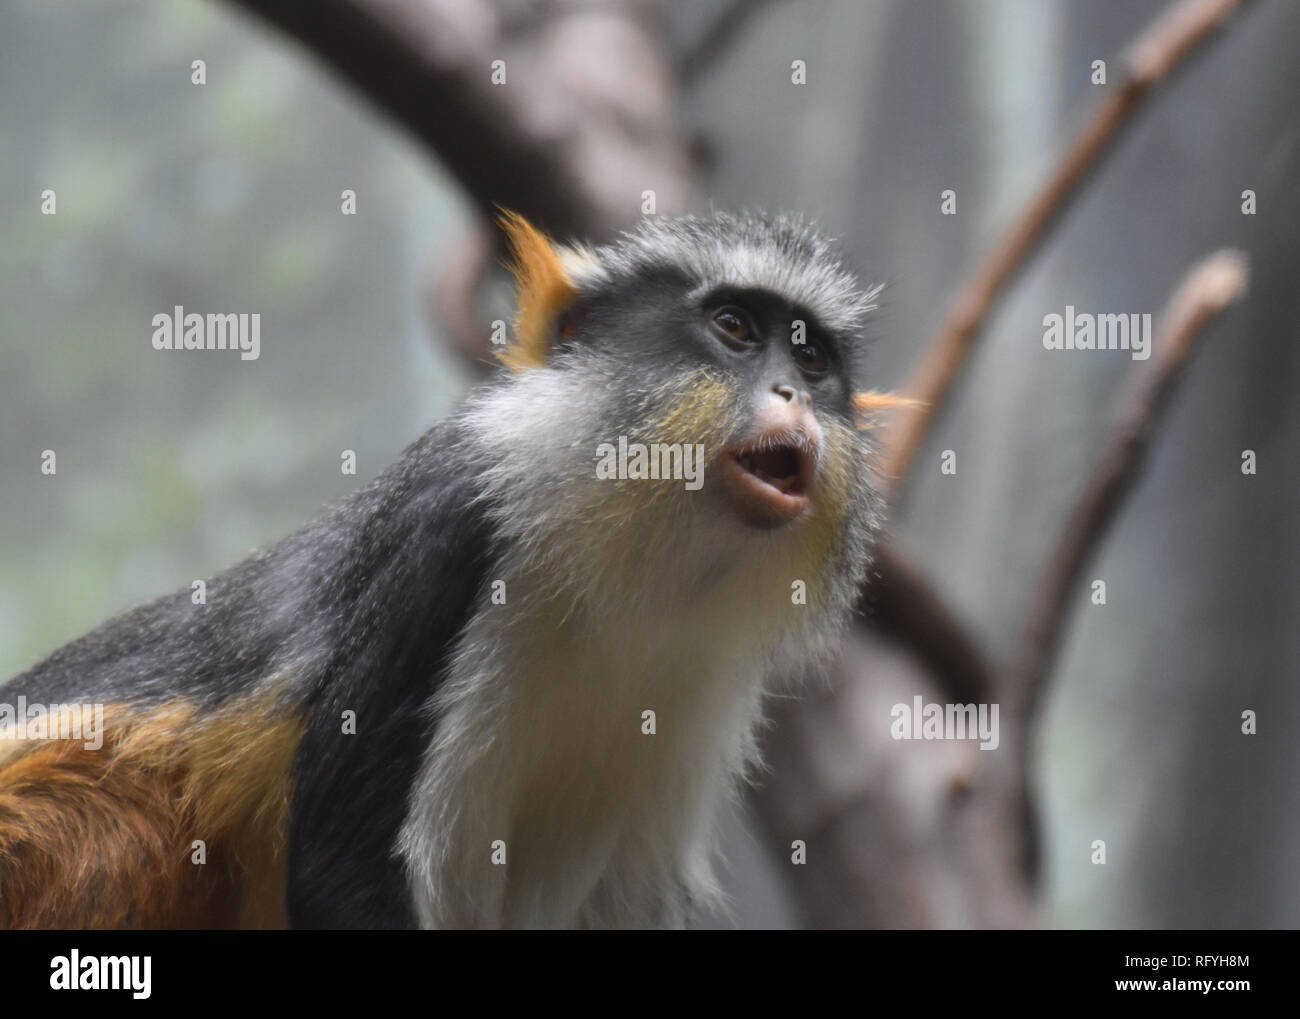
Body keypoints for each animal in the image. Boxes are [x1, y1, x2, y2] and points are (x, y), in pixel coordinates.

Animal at [0, 210, 902, 929]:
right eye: (736, 327)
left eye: (811, 359)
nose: (791, 394)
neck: (629, 559)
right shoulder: (455, 524)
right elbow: (341, 863)